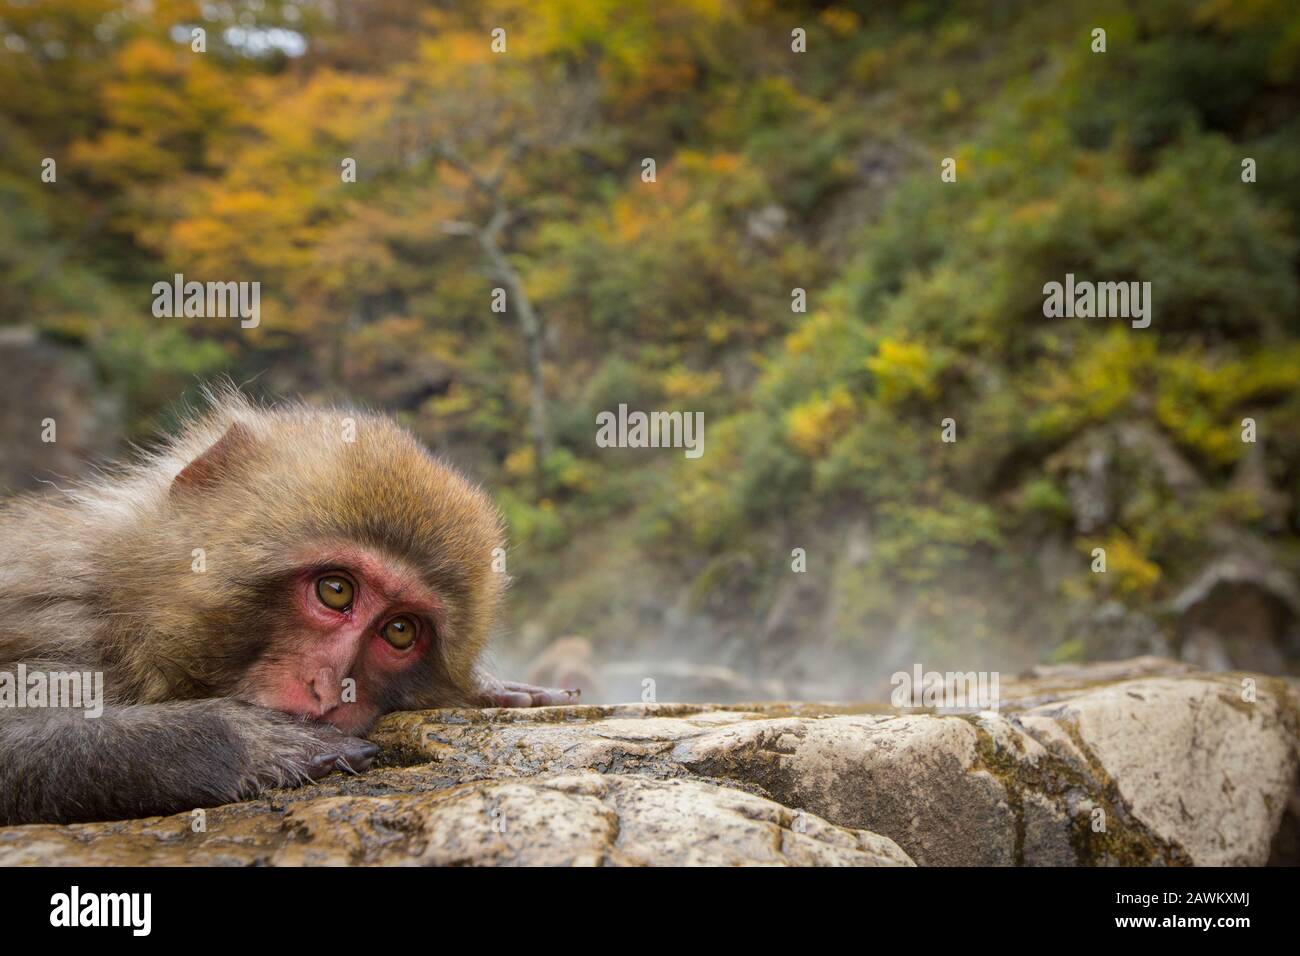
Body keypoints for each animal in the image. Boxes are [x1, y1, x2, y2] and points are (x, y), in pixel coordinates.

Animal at [0, 387, 577, 825]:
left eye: (400, 631)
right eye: (336, 591)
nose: (330, 690)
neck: (126, 604)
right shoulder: (64, 622)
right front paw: (249, 741)